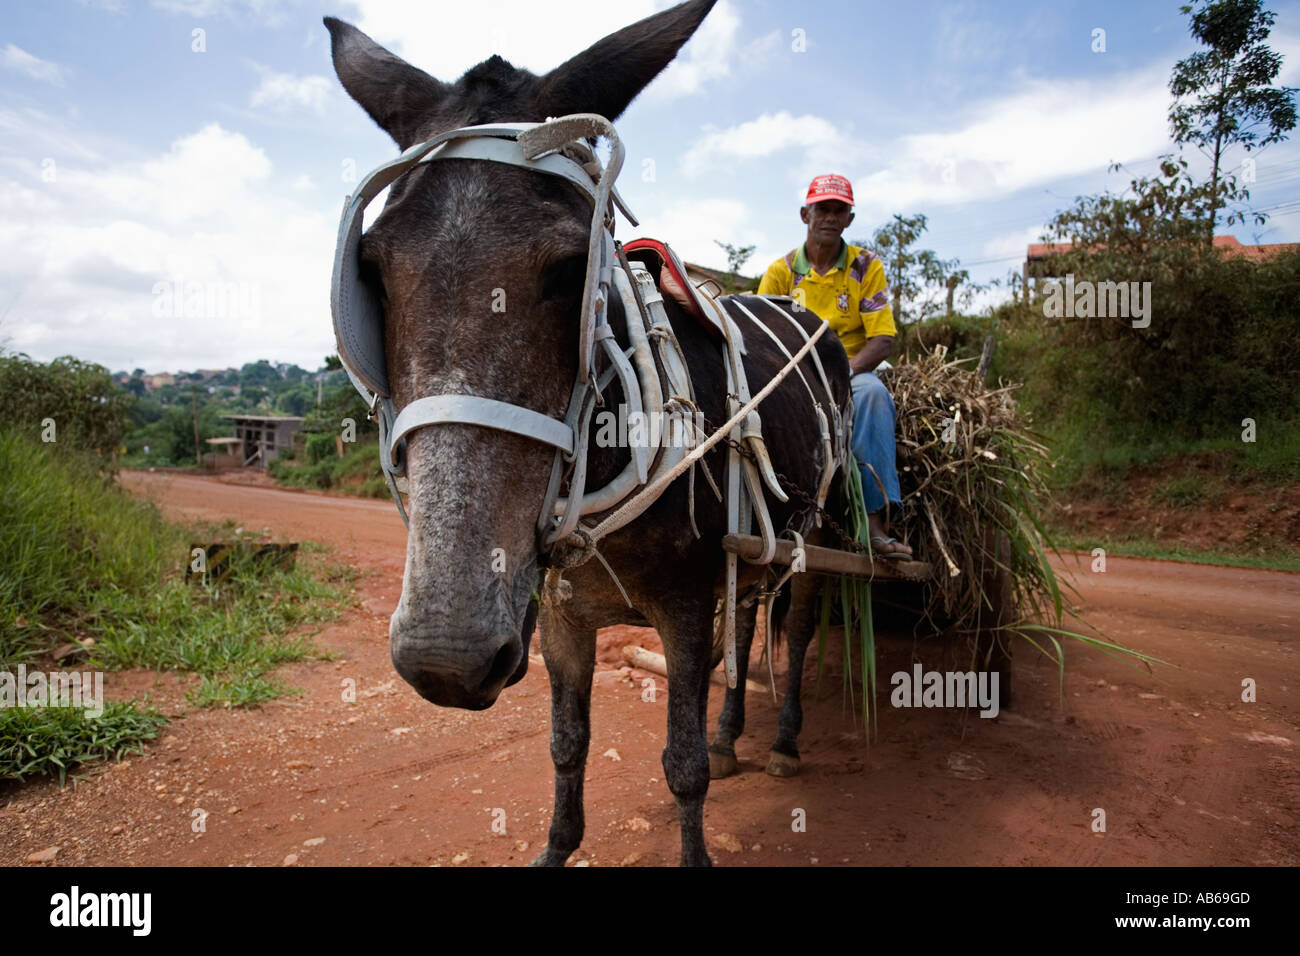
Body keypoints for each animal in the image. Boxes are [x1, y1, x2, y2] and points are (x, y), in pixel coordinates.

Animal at [325, 0, 854, 867]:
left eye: (573, 270)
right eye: (370, 268)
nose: (446, 654)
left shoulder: (683, 604)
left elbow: (682, 764)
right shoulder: (560, 616)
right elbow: (566, 744)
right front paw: (556, 845)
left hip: (826, 531)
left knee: (799, 629)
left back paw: (780, 739)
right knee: (746, 621)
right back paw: (736, 734)